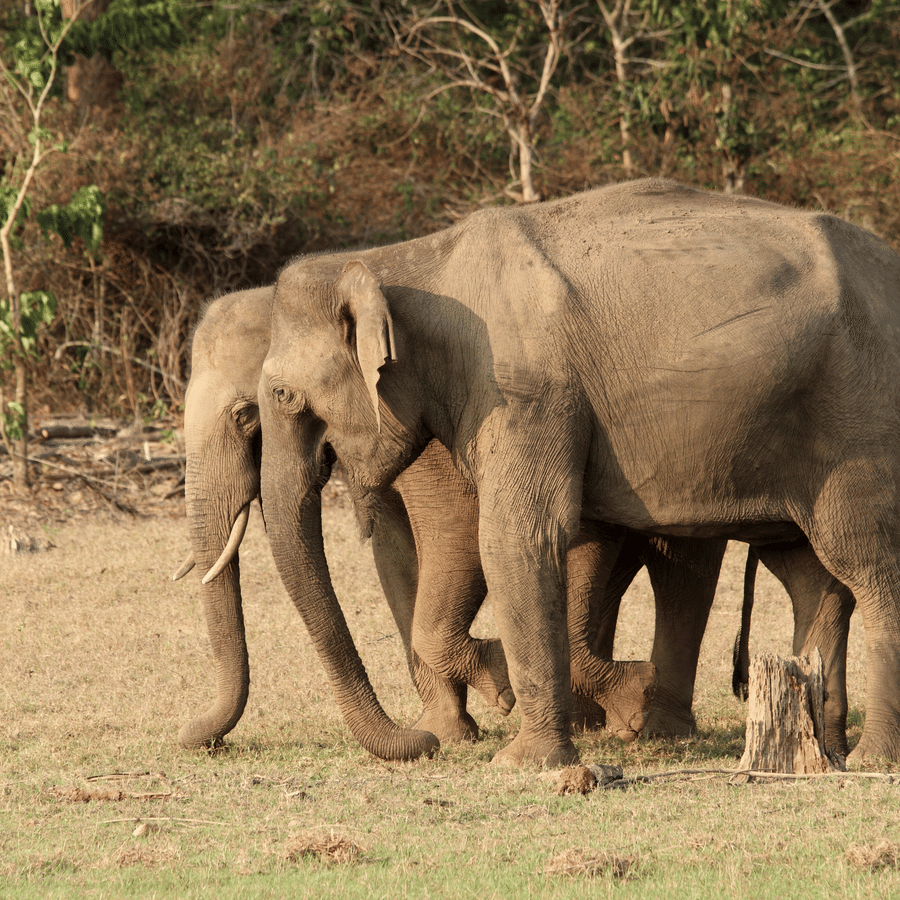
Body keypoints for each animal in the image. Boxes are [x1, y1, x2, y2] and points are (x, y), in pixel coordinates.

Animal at [257, 177, 900, 767]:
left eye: (284, 395)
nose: (424, 744)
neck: (414, 259)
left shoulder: (525, 393)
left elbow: (517, 537)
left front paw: (526, 757)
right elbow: (535, 536)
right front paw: (544, 693)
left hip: (860, 427)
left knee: (867, 564)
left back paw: (872, 759)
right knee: (810, 574)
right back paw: (823, 754)